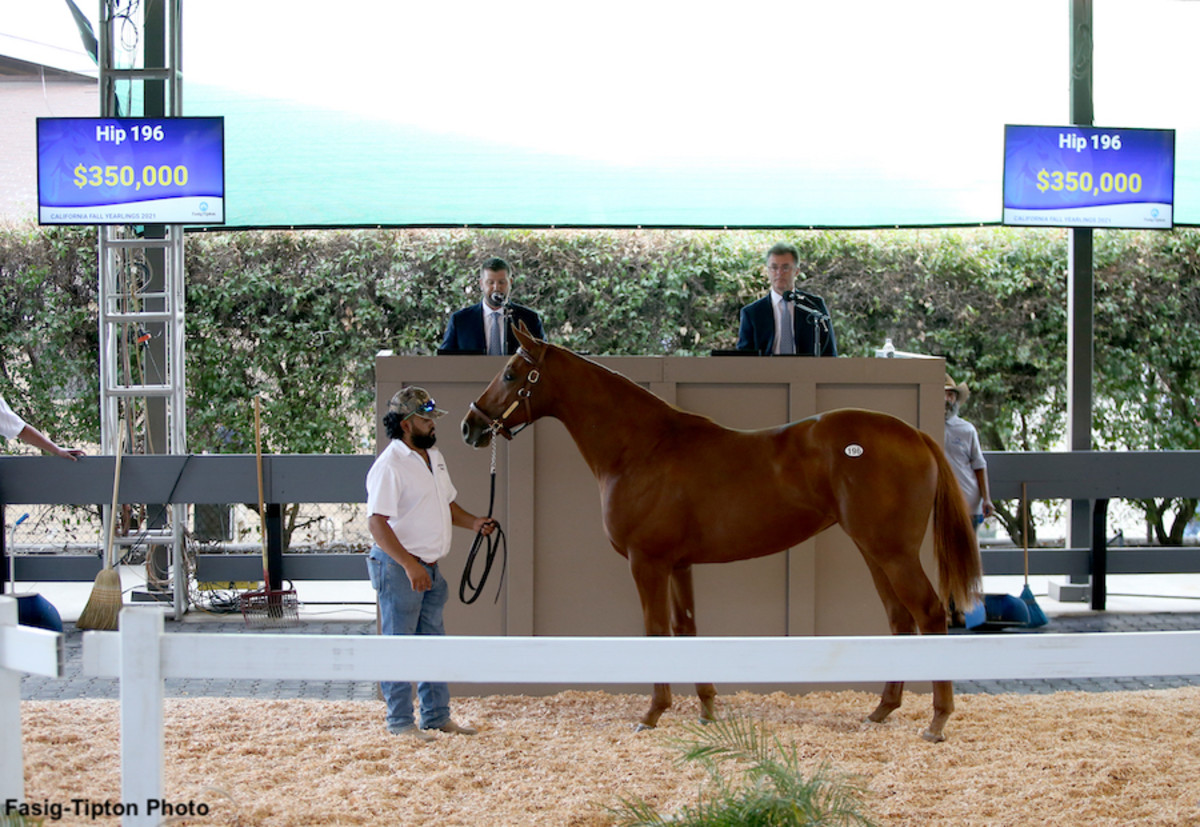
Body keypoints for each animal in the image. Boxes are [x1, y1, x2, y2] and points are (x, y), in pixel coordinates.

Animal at [462, 323, 982, 742]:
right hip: (873, 551)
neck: (641, 448)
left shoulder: (647, 562)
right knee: (899, 620)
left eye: (510, 374)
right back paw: (882, 709)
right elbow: (688, 627)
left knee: (930, 614)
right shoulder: (678, 564)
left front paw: (652, 714)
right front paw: (707, 709)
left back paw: (937, 720)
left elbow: (656, 631)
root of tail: (916, 435)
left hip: (893, 552)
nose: (471, 426)